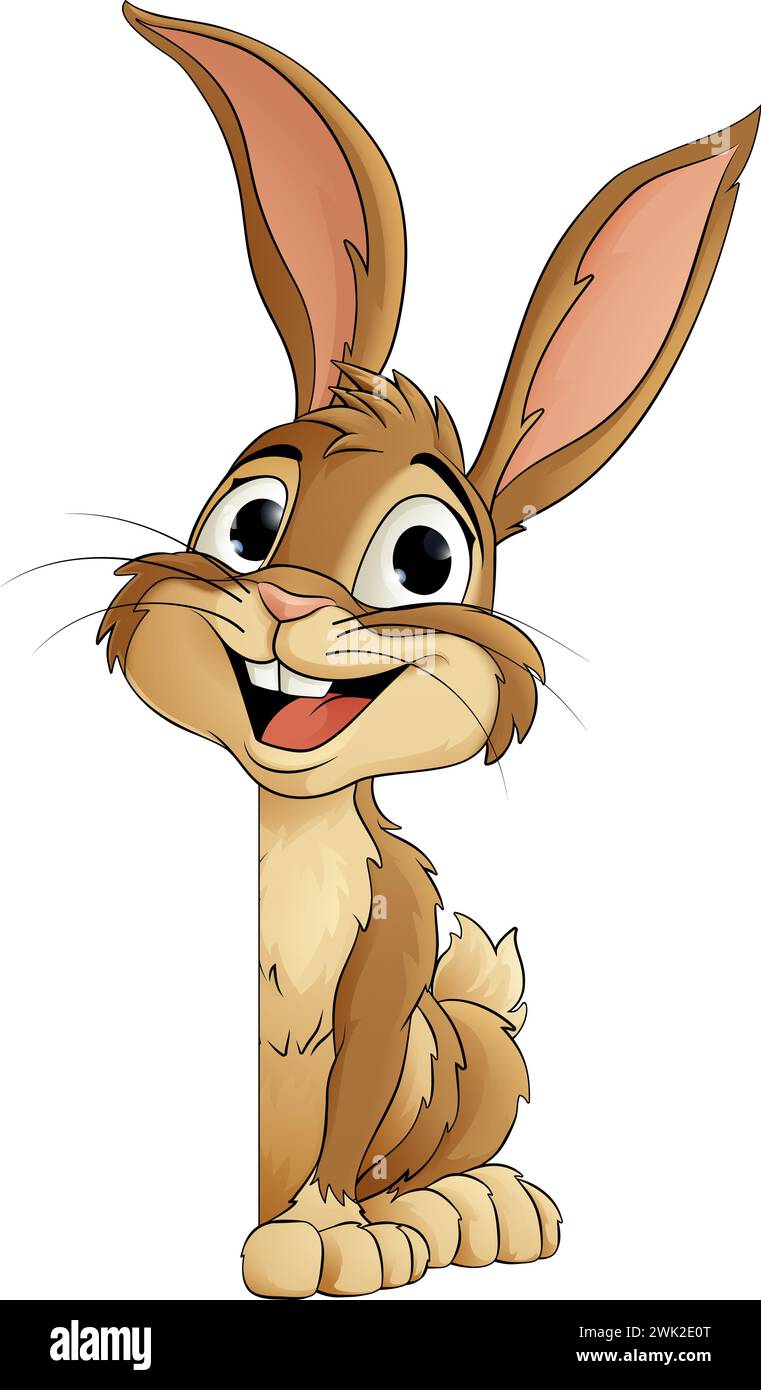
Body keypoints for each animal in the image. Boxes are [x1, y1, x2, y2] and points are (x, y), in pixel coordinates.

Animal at [98, 5, 759, 1298]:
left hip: (472, 1059)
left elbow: (343, 1114)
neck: (305, 843)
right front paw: (290, 1232)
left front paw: (318, 1236)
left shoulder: (388, 964)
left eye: (422, 557)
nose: (285, 602)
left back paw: (467, 1207)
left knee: (438, 1149)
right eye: (250, 522)